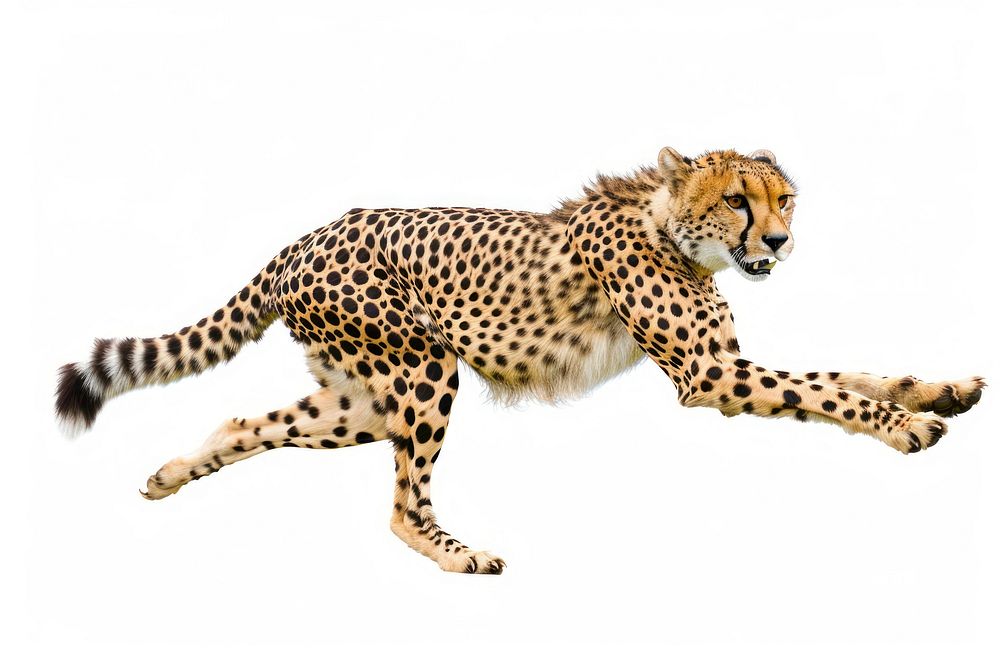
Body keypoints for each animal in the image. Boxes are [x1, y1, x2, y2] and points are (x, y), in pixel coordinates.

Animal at [55, 146, 986, 574]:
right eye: (736, 201)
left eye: (783, 198)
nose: (782, 241)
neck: (671, 227)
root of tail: (306, 235)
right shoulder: (711, 375)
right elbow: (829, 393)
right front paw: (905, 427)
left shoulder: (726, 359)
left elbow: (849, 375)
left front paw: (943, 392)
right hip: (422, 371)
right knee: (403, 502)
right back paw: (458, 553)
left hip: (359, 400)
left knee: (249, 419)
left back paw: (171, 473)